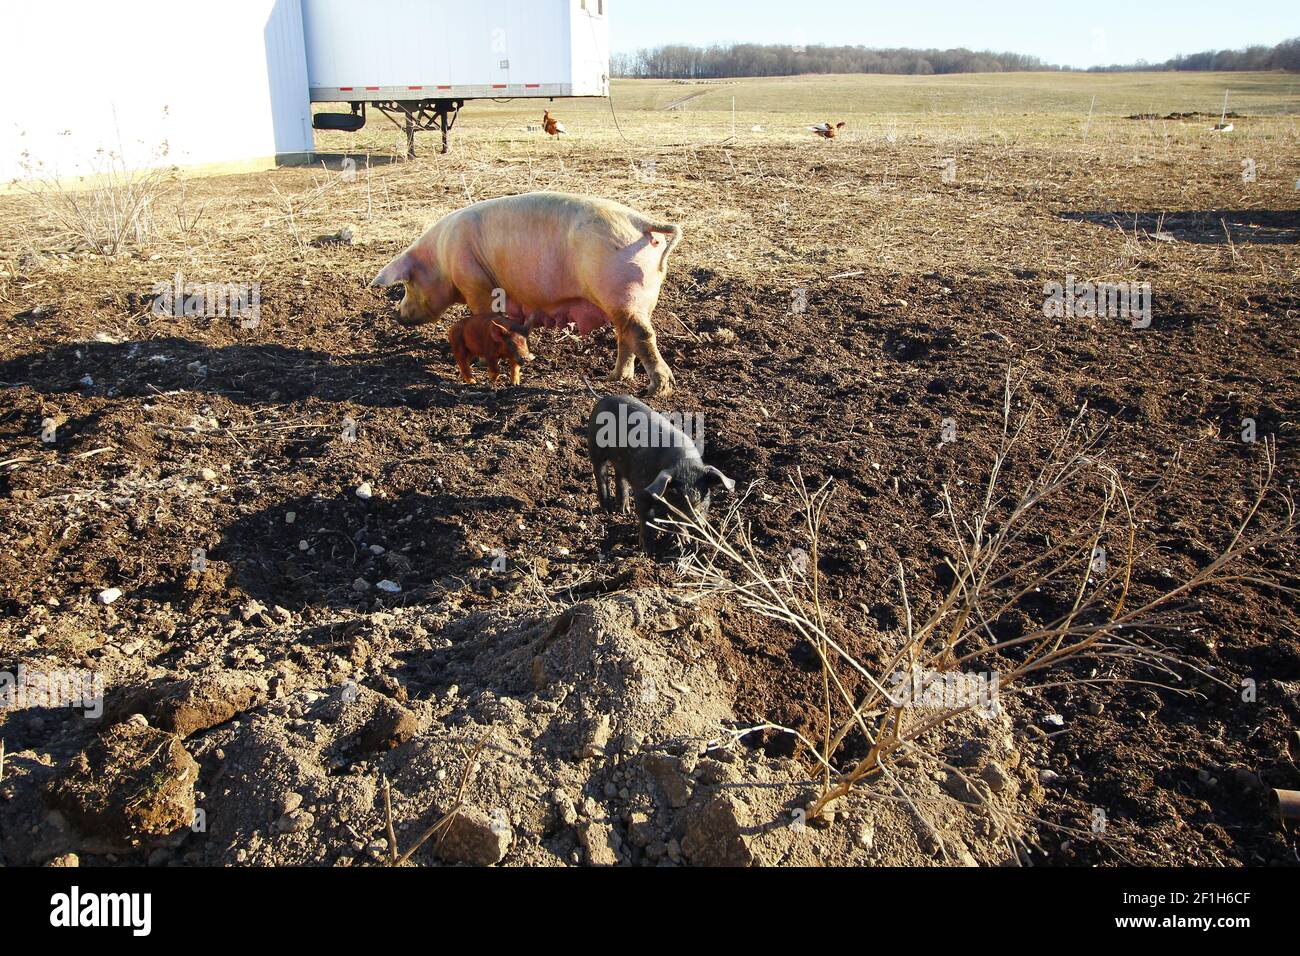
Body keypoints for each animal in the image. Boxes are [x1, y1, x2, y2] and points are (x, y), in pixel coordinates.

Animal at [371, 191, 683, 396]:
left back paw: (657, 391)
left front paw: (482, 361)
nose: (397, 315)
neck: (441, 258)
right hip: (629, 300)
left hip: (624, 293)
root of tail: (641, 222)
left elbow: (483, 316)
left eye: (407, 284)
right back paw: (616, 378)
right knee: (625, 336)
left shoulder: (475, 283)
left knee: (642, 335)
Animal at [587, 394, 735, 555]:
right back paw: (608, 511)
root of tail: (605, 398)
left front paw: (685, 542)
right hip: (595, 446)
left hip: (621, 461)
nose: (696, 520)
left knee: (620, 476)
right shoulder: (642, 491)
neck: (684, 465)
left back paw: (624, 510)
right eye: (677, 494)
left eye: (705, 493)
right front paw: (648, 551)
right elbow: (647, 521)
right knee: (600, 475)